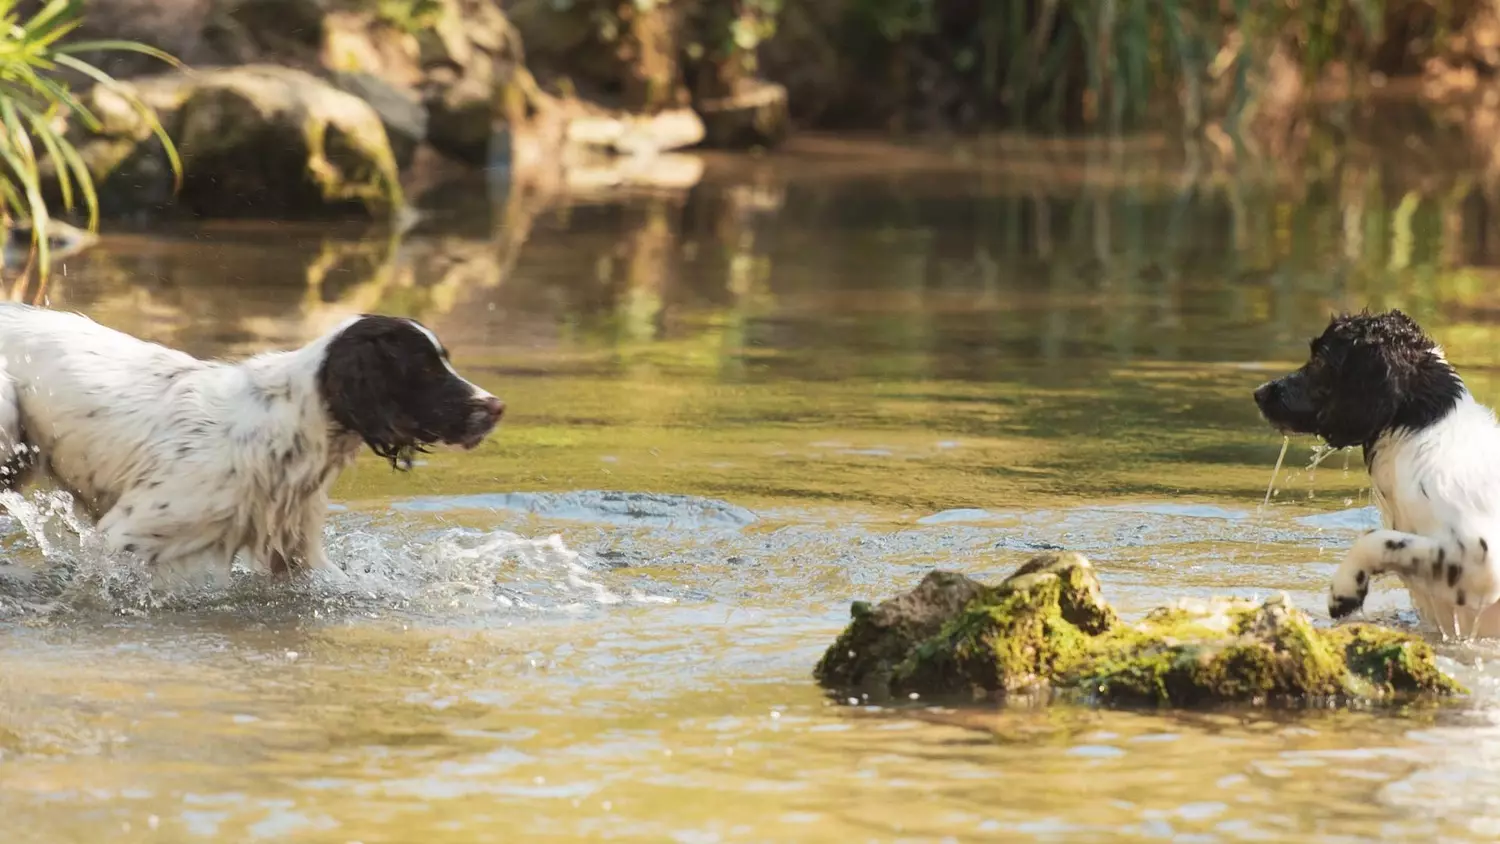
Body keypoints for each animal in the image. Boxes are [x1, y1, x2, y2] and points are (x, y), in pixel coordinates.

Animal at [1248, 313, 1500, 638]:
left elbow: (1373, 538)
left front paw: (1344, 592)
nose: (1260, 392)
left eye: (1320, 360)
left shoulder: (1482, 560)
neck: (1420, 433)